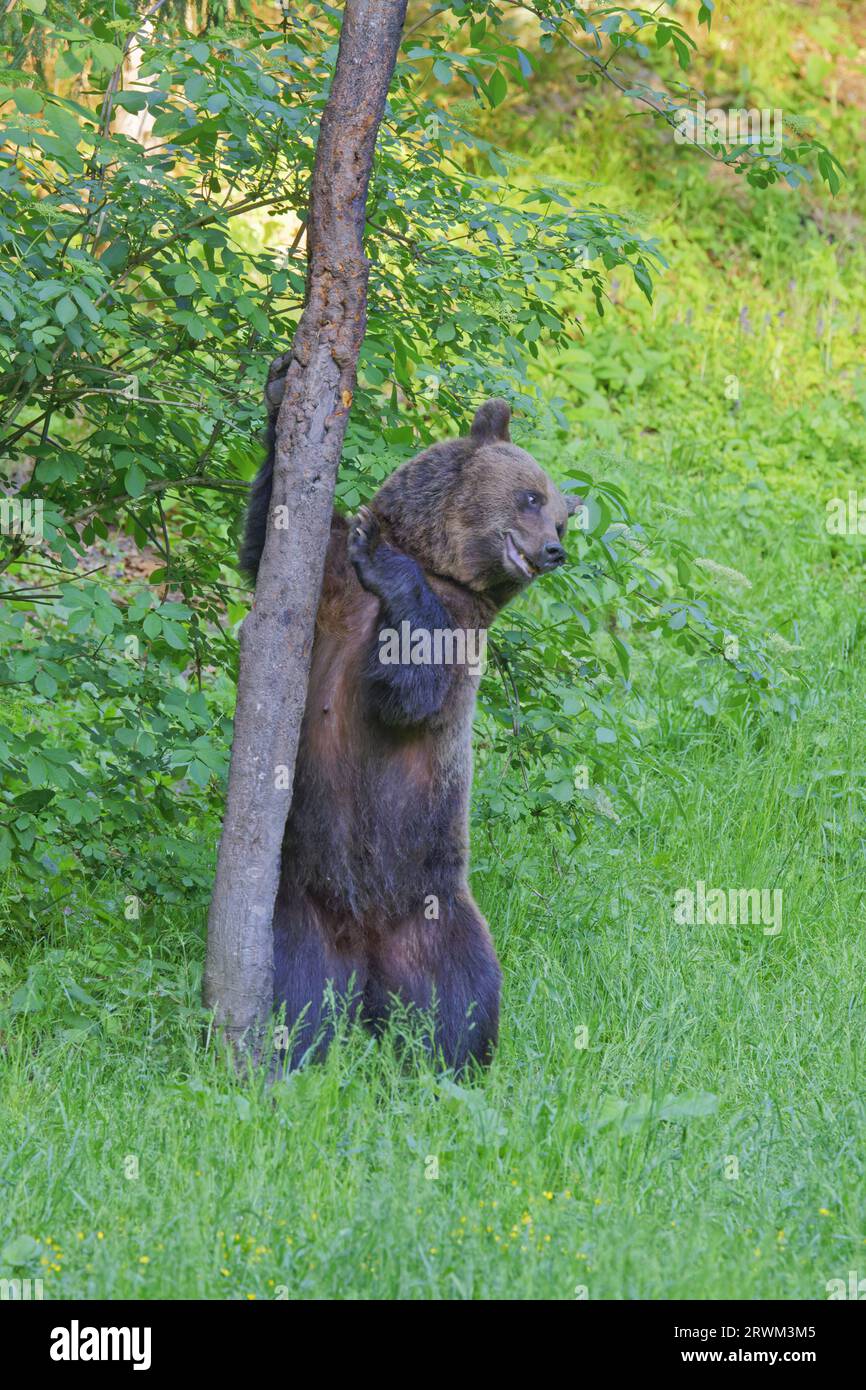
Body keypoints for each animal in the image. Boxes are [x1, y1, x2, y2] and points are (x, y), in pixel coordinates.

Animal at [241, 397, 576, 1072]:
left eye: (560, 516)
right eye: (531, 496)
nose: (553, 550)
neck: (438, 562)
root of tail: (366, 953)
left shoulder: (461, 632)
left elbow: (409, 688)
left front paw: (383, 559)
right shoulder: (328, 583)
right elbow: (265, 541)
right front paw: (279, 397)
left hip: (434, 908)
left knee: (461, 996)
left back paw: (454, 1060)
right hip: (296, 910)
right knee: (298, 993)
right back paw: (298, 1052)